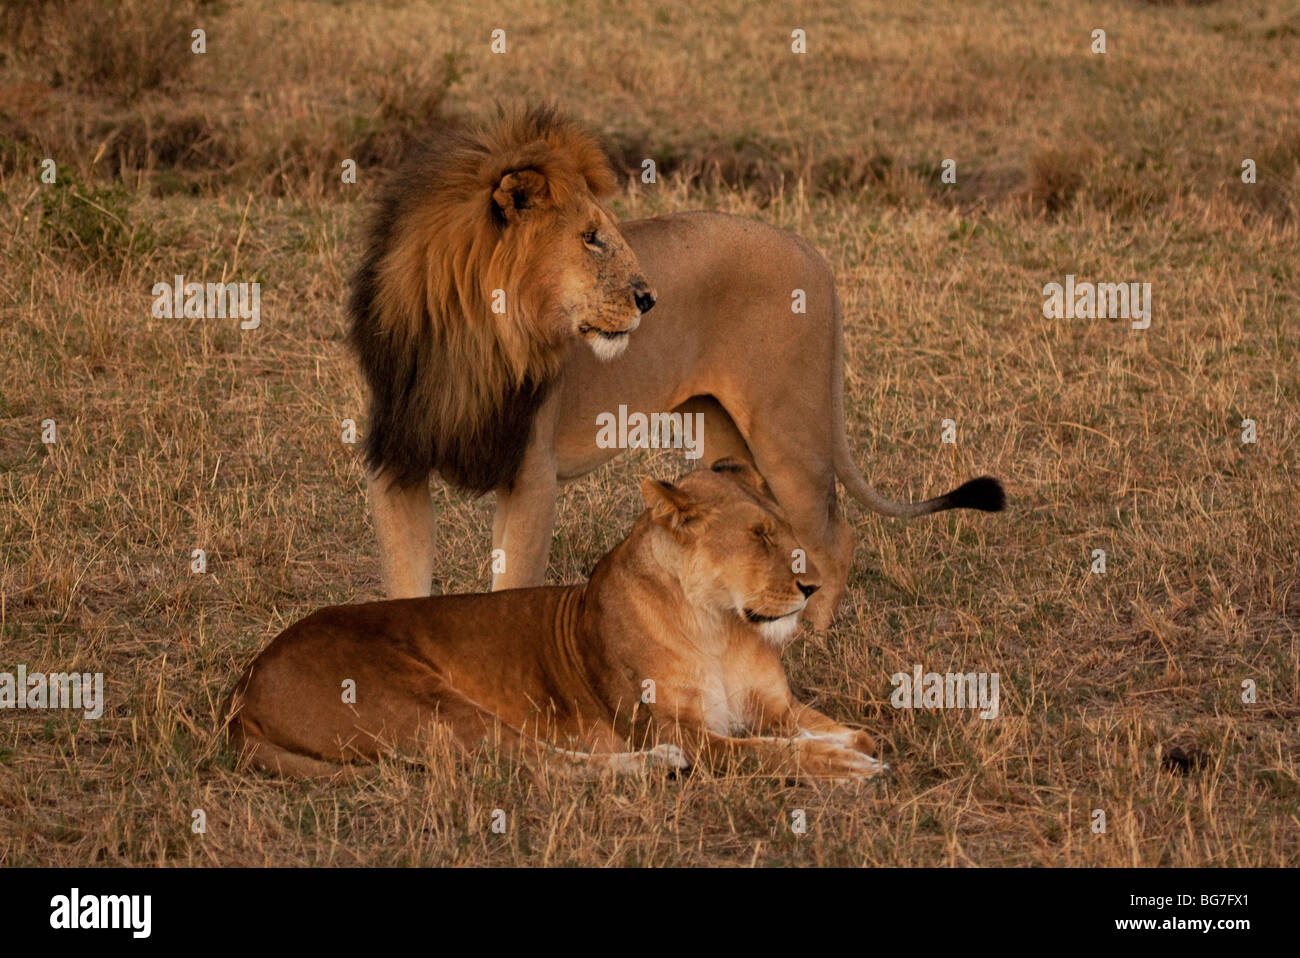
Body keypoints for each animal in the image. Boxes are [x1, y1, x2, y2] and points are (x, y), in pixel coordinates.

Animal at [225, 460, 883, 782]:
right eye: (758, 536)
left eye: (788, 529)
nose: (812, 586)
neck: (717, 627)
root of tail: (247, 683)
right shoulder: (671, 726)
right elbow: (762, 754)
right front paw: (844, 764)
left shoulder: (771, 706)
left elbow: (813, 727)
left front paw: (850, 740)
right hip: (427, 703)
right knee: (530, 761)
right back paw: (653, 766)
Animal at [349, 105, 1004, 630]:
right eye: (591, 237)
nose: (648, 299)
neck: (470, 331)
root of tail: (814, 254)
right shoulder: (398, 462)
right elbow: (405, 582)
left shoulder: (529, 473)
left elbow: (512, 582)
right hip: (724, 432)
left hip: (786, 426)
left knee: (835, 537)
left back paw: (812, 638)